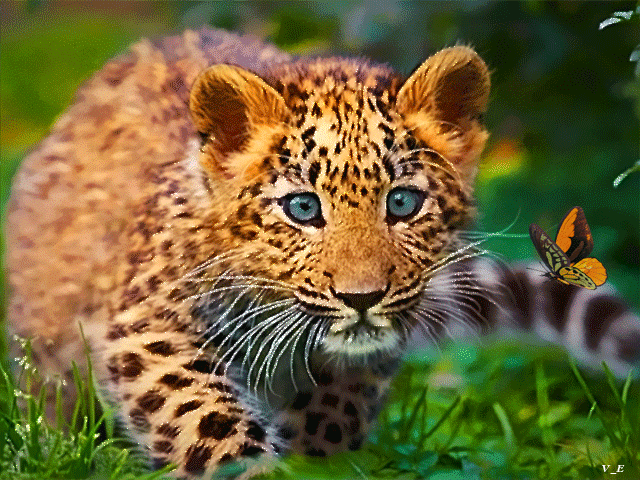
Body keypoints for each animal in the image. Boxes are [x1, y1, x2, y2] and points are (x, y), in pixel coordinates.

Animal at [5, 28, 640, 478]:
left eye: (403, 202)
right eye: (303, 208)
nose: (361, 298)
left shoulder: (367, 354)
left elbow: (335, 411)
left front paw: (313, 462)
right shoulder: (146, 324)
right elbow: (200, 417)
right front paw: (254, 469)